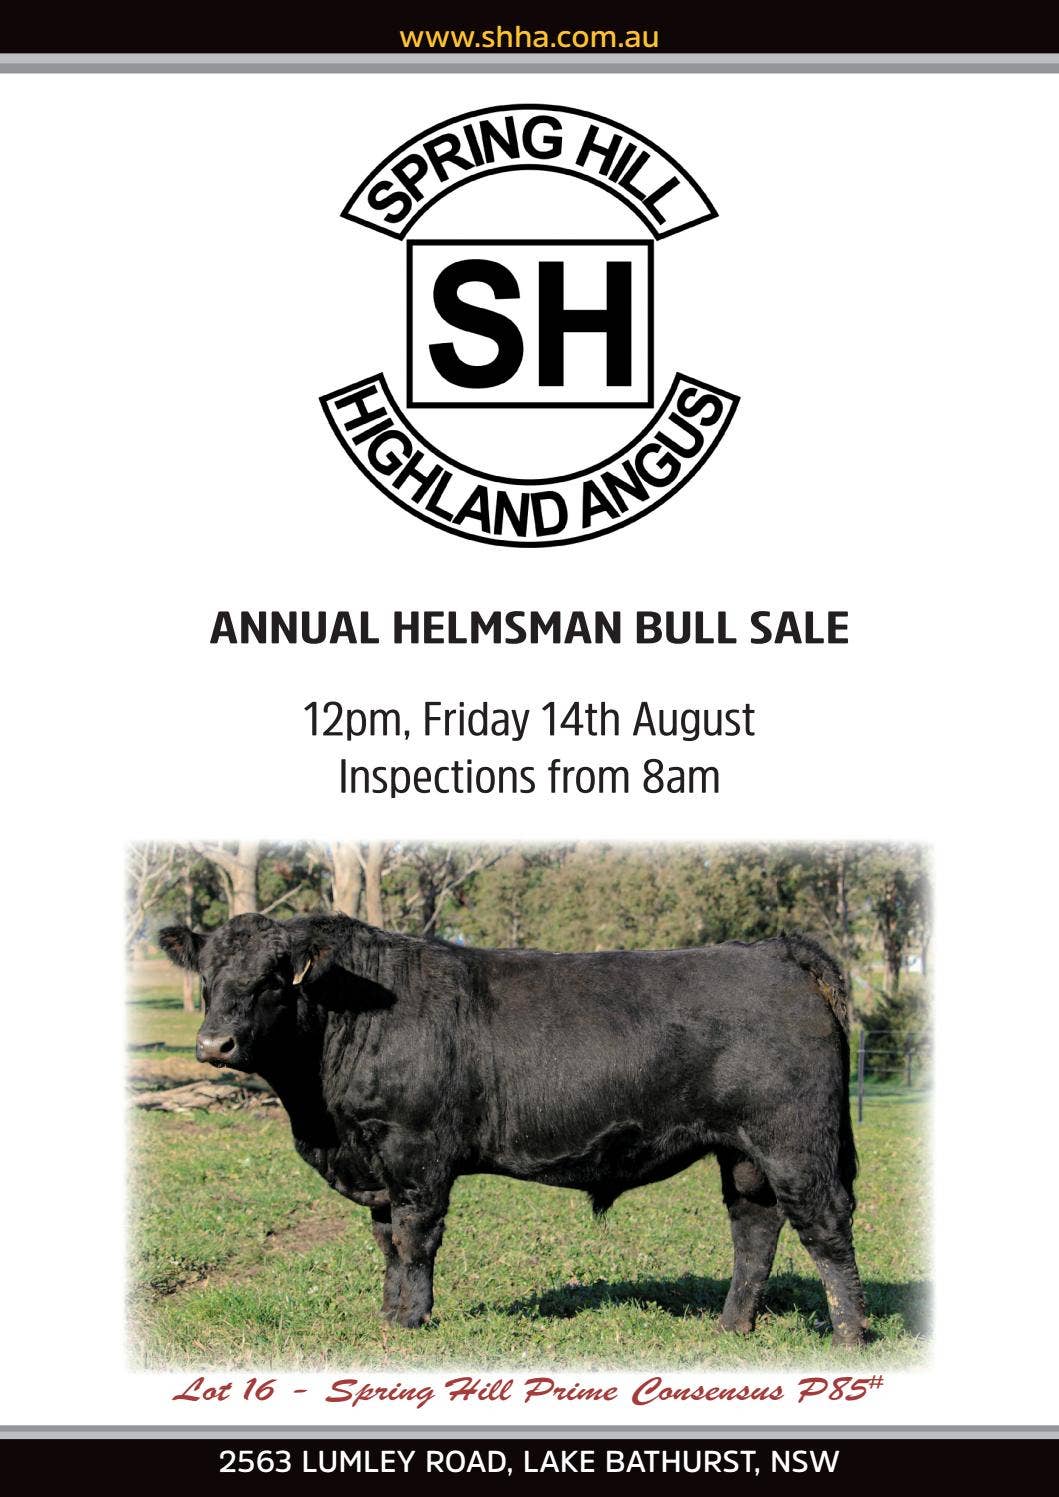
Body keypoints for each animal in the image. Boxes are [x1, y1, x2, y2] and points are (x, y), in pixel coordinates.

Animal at [159, 914, 868, 1344]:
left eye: (273, 980)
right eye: (207, 978)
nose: (213, 1044)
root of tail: (772, 949)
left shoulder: (415, 1154)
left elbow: (415, 1240)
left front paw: (412, 1320)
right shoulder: (376, 1161)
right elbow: (386, 1243)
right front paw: (388, 1316)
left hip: (796, 1141)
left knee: (825, 1225)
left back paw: (850, 1335)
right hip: (743, 1153)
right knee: (755, 1228)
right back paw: (731, 1327)